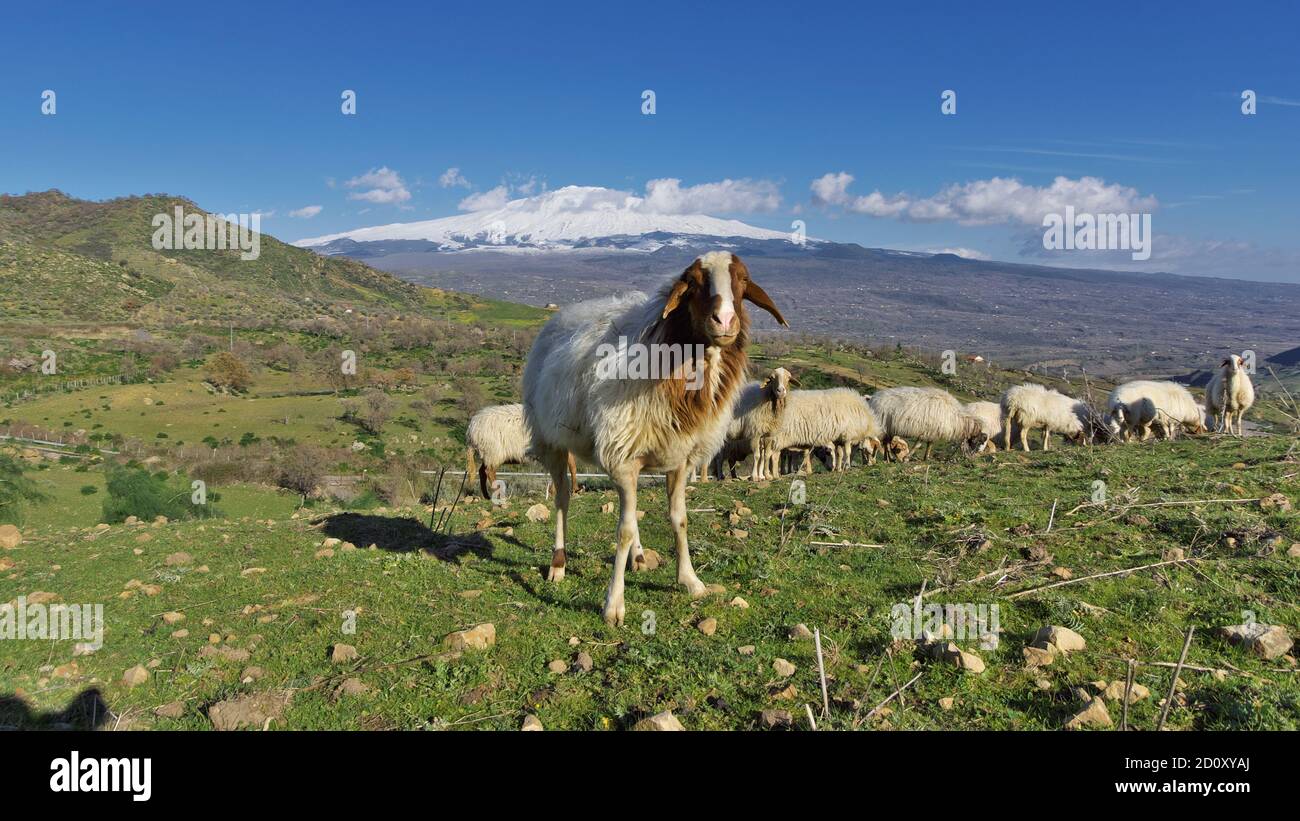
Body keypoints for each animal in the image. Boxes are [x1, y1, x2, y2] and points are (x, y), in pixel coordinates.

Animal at [522, 251, 788, 626]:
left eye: (743, 280)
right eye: (693, 282)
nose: (724, 320)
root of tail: (563, 315)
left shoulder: (680, 459)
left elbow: (678, 519)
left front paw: (690, 580)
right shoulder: (623, 460)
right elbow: (622, 530)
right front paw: (614, 605)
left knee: (628, 512)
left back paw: (638, 558)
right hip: (553, 442)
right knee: (562, 500)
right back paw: (558, 564)